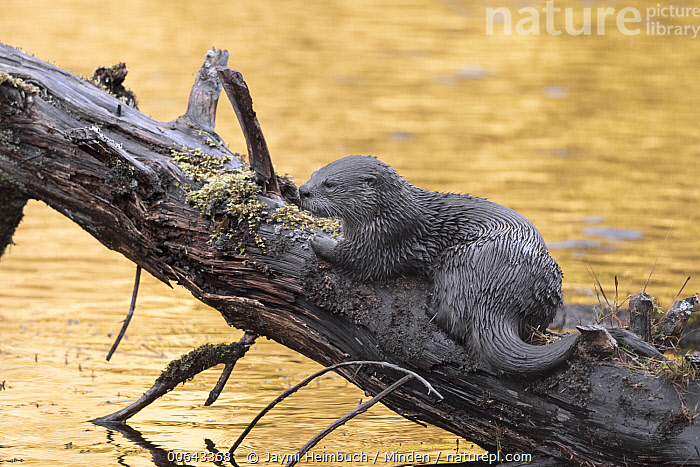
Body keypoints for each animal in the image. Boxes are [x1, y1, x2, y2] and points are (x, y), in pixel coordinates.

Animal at [299, 155, 579, 375]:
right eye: (313, 174)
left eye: (330, 184)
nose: (302, 190)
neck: (387, 212)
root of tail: (501, 294)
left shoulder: (385, 238)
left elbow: (359, 261)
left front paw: (320, 240)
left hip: (459, 260)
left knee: (454, 319)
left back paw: (430, 304)